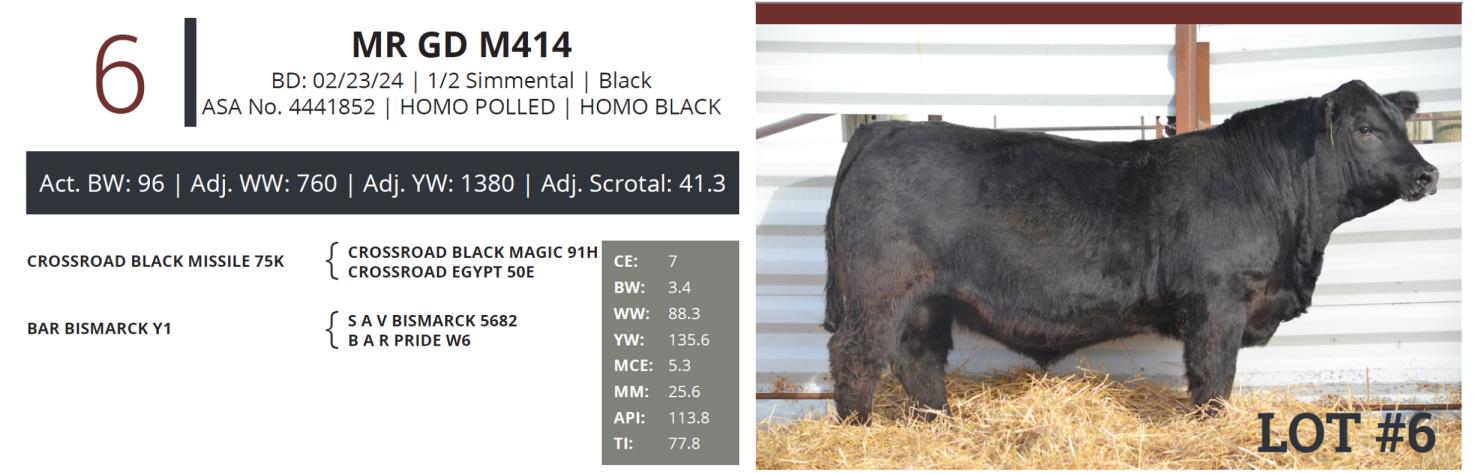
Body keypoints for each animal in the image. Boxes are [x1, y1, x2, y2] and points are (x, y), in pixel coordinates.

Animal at [823, 80, 1436, 424]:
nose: (1428, 174)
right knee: (855, 357)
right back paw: (859, 431)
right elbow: (1213, 375)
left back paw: (939, 422)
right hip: (879, 292)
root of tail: (881, 131)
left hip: (925, 298)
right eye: (1365, 129)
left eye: (1400, 122)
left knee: (917, 357)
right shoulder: (1218, 302)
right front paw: (1209, 427)